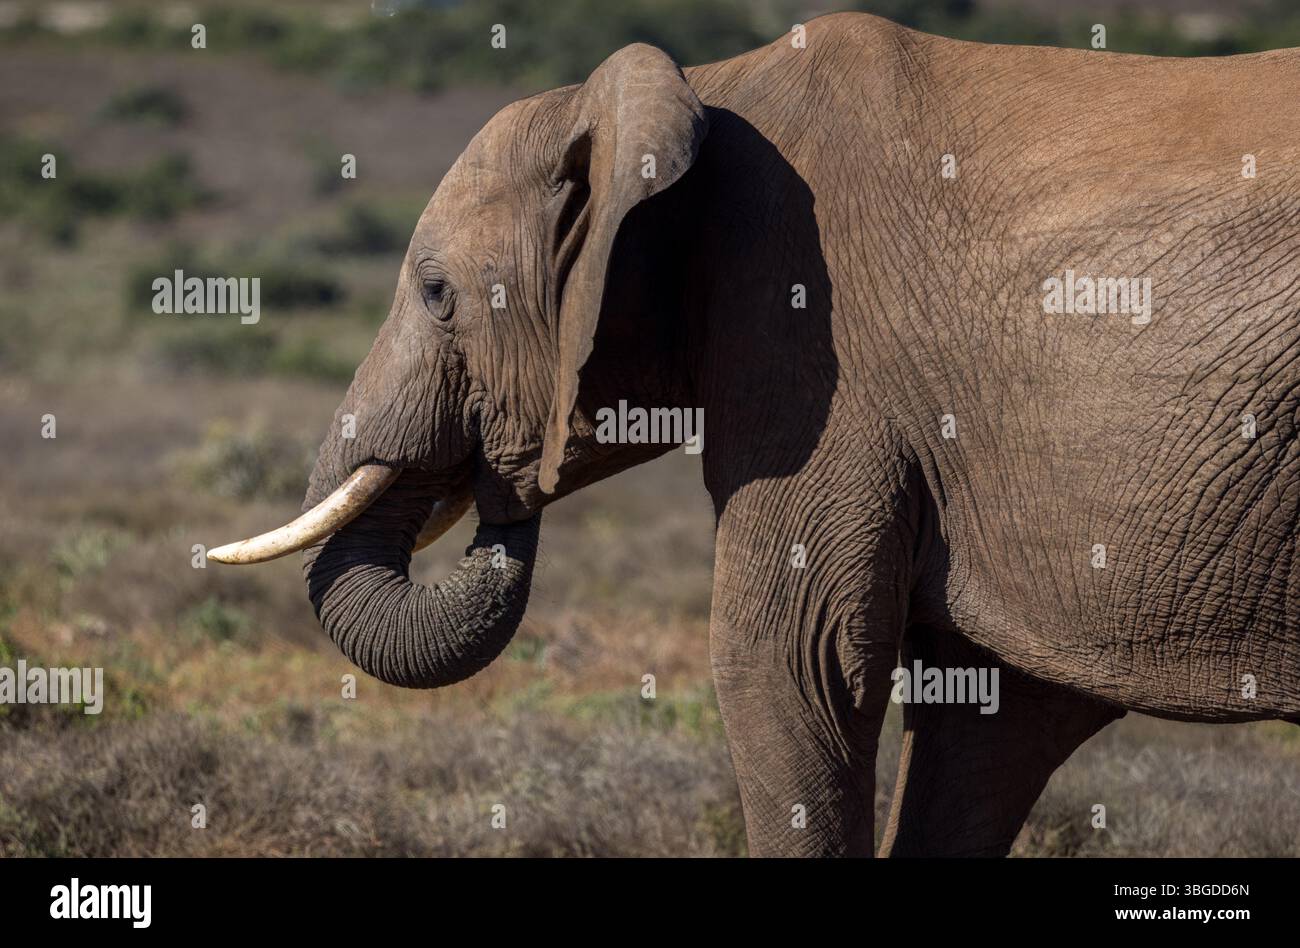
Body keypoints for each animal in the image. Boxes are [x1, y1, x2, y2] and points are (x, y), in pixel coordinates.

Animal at [209, 12, 1300, 857]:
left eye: (436, 293)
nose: (501, 490)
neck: (700, 93)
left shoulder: (816, 355)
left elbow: (787, 667)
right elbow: (988, 716)